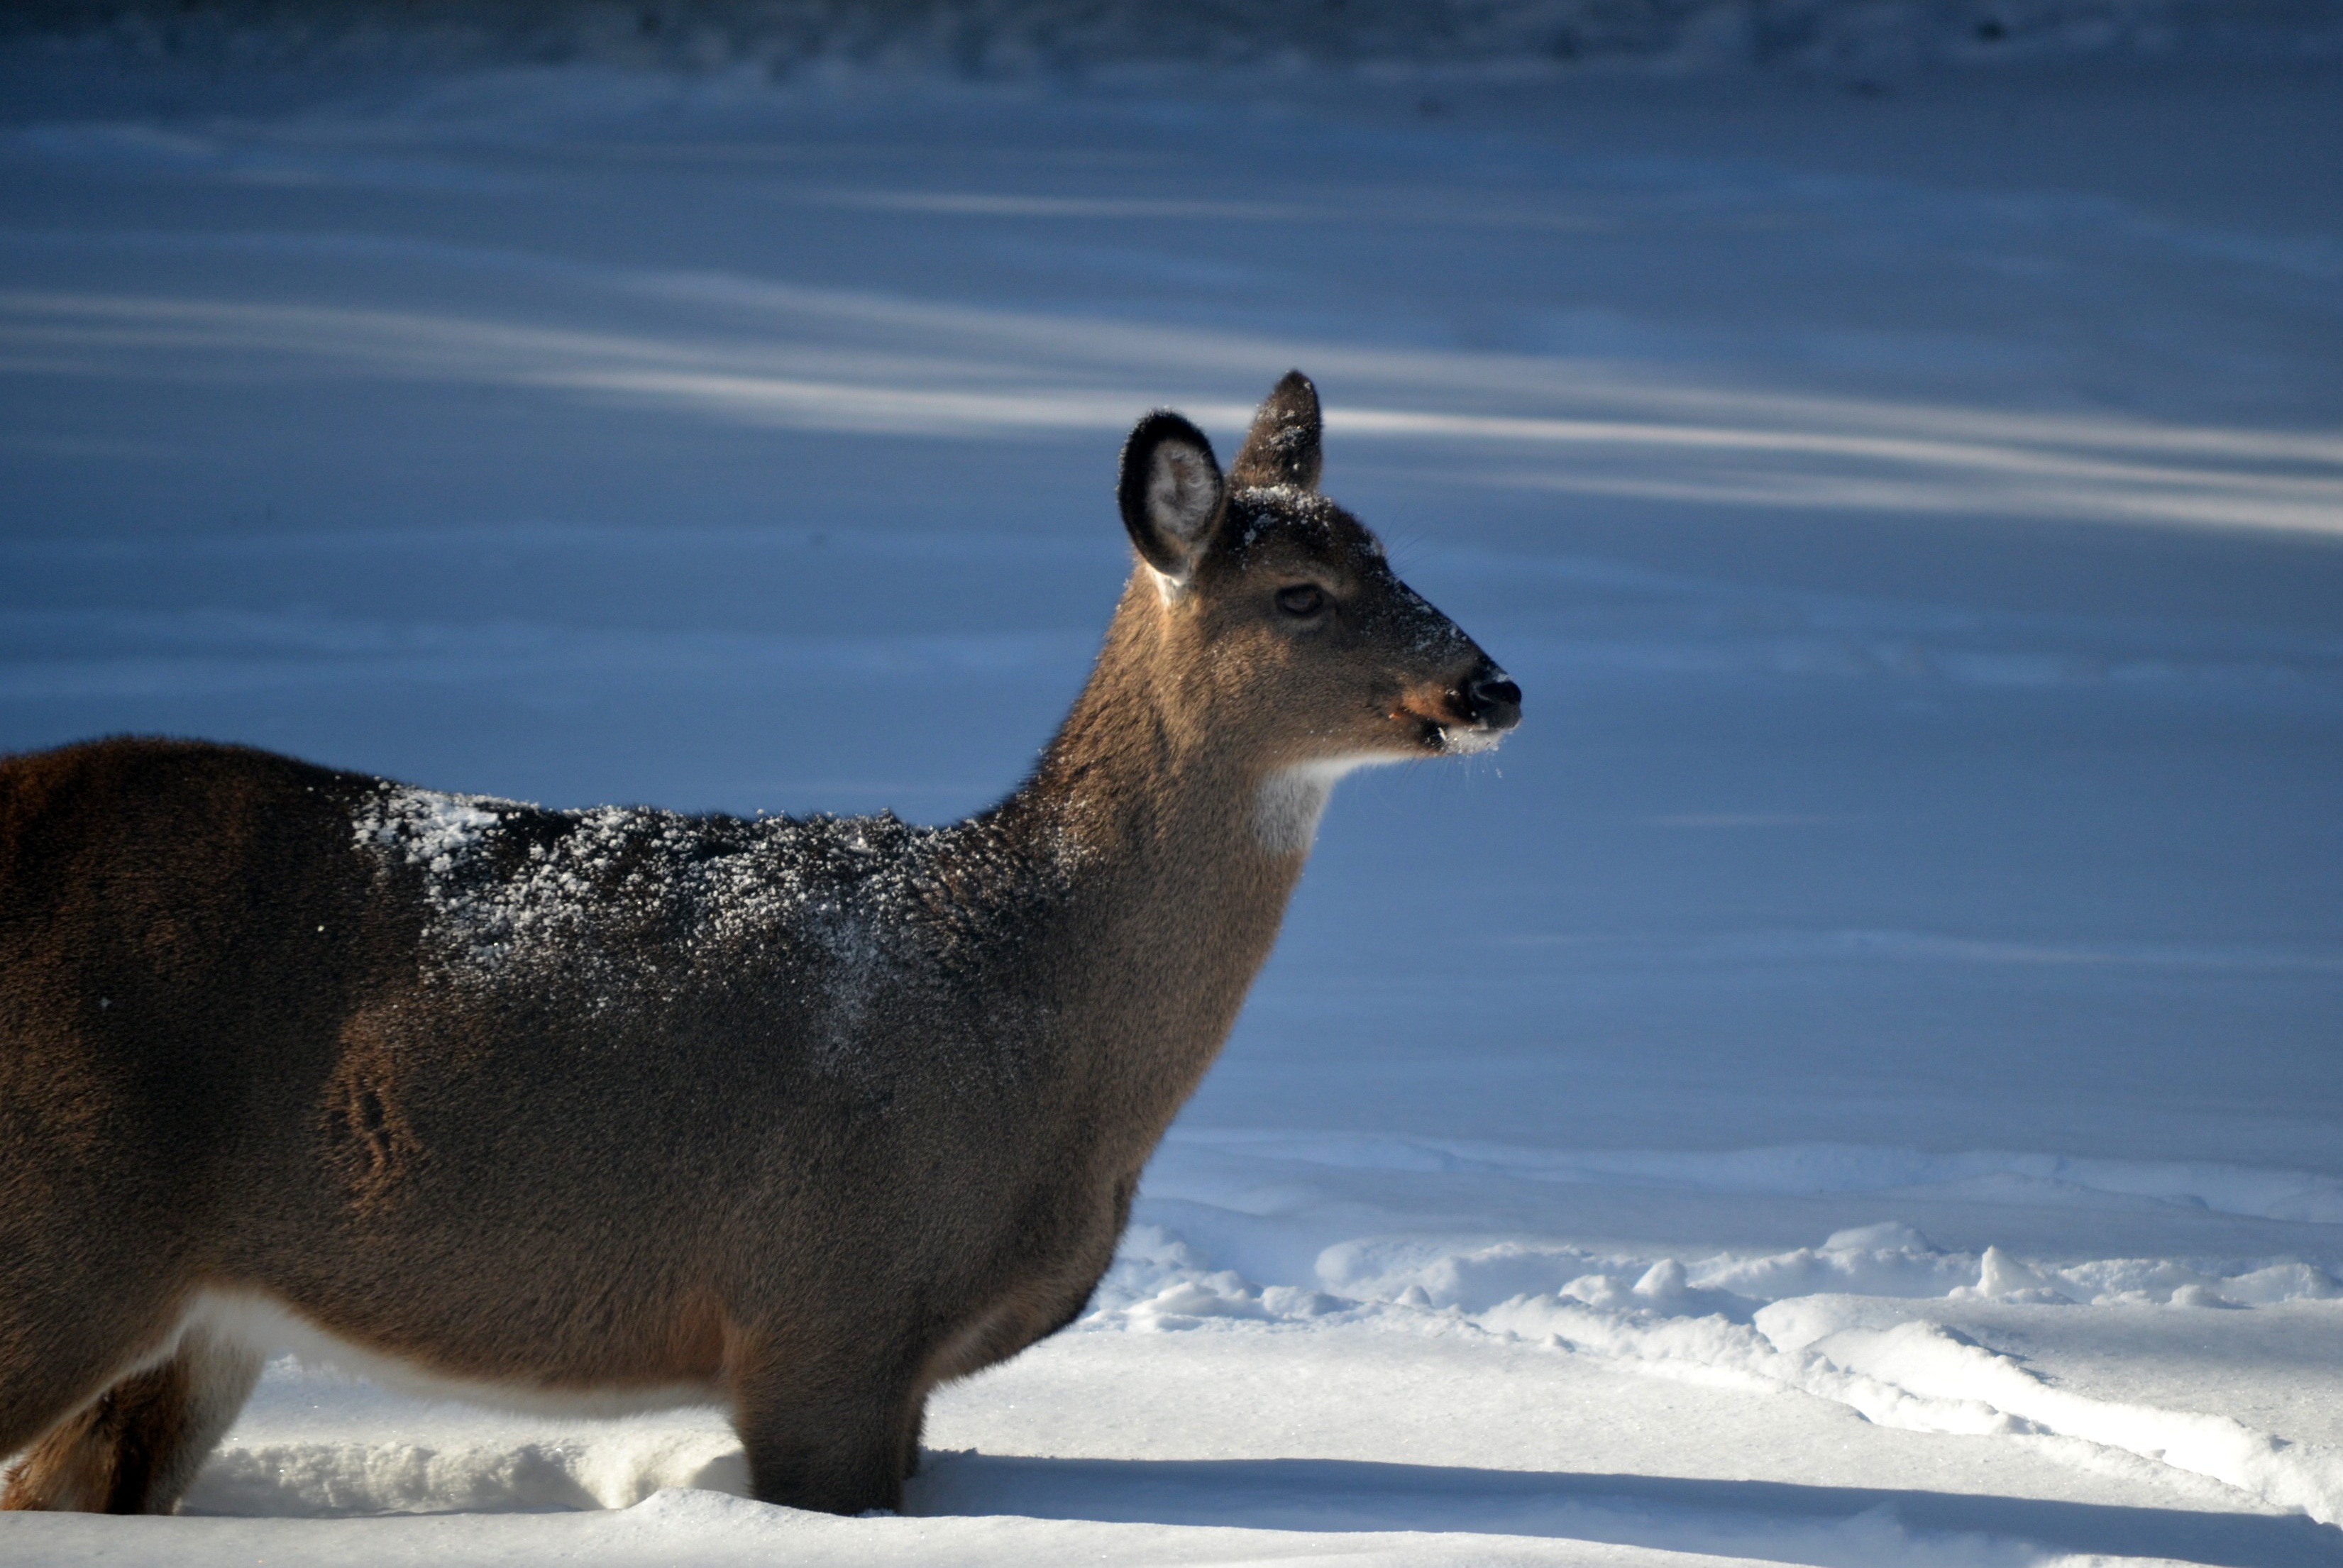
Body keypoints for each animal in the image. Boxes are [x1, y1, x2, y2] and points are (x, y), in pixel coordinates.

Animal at [0, 371, 1519, 1518]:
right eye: (1300, 594)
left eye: (1388, 555)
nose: (1491, 685)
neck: (1020, 1010)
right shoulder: (822, 1309)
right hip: (64, 1229)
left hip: (187, 1327)